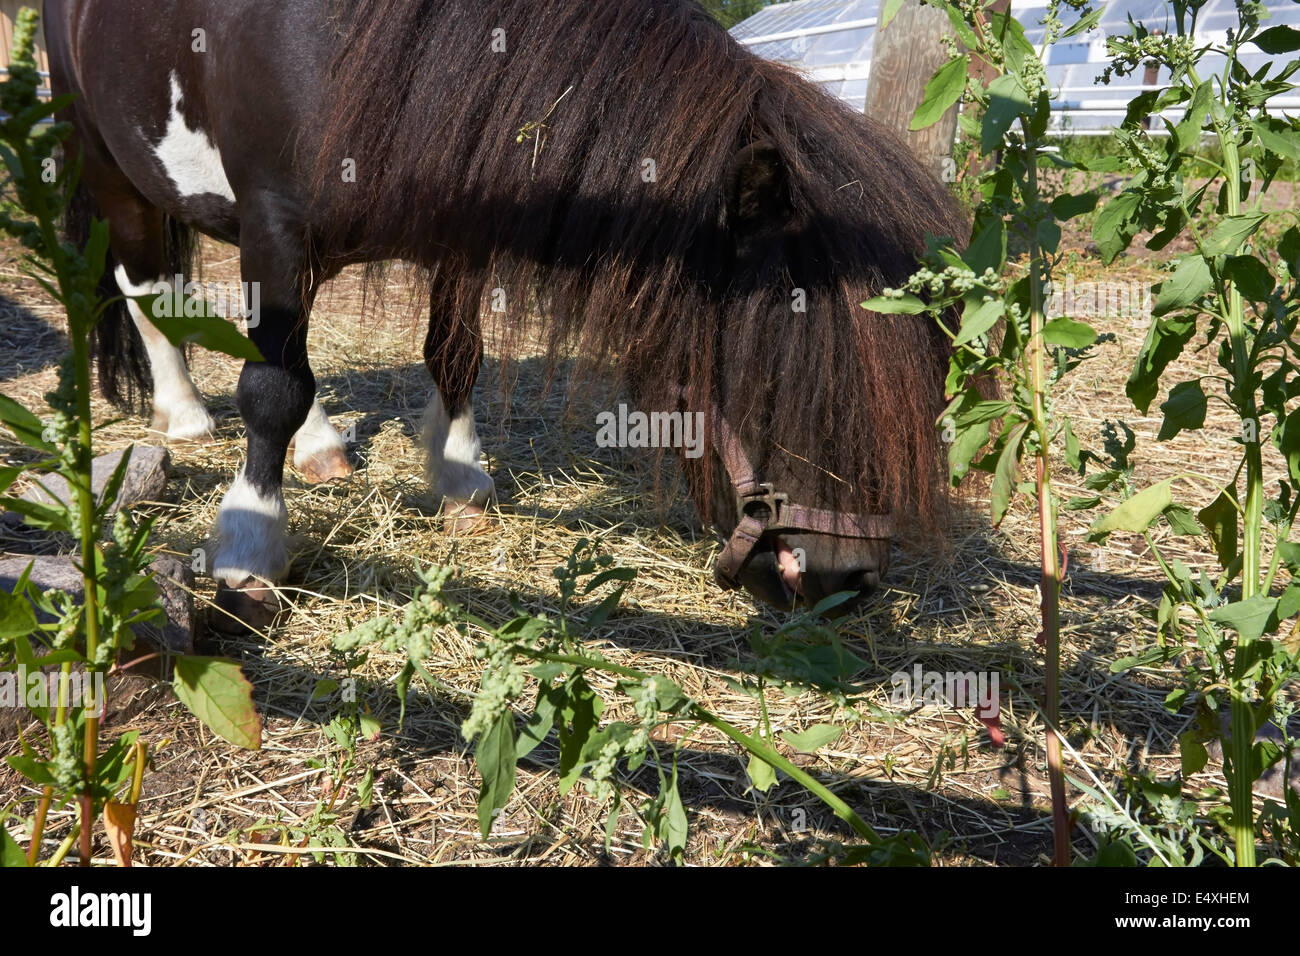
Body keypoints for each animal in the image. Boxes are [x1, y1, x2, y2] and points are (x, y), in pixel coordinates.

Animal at [46, 0, 965, 629]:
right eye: (771, 368)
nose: (845, 580)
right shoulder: (275, 228)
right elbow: (272, 385)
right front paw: (249, 545)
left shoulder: (459, 220)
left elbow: (455, 352)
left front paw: (460, 481)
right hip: (110, 167)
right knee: (149, 293)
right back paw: (185, 414)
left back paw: (318, 449)